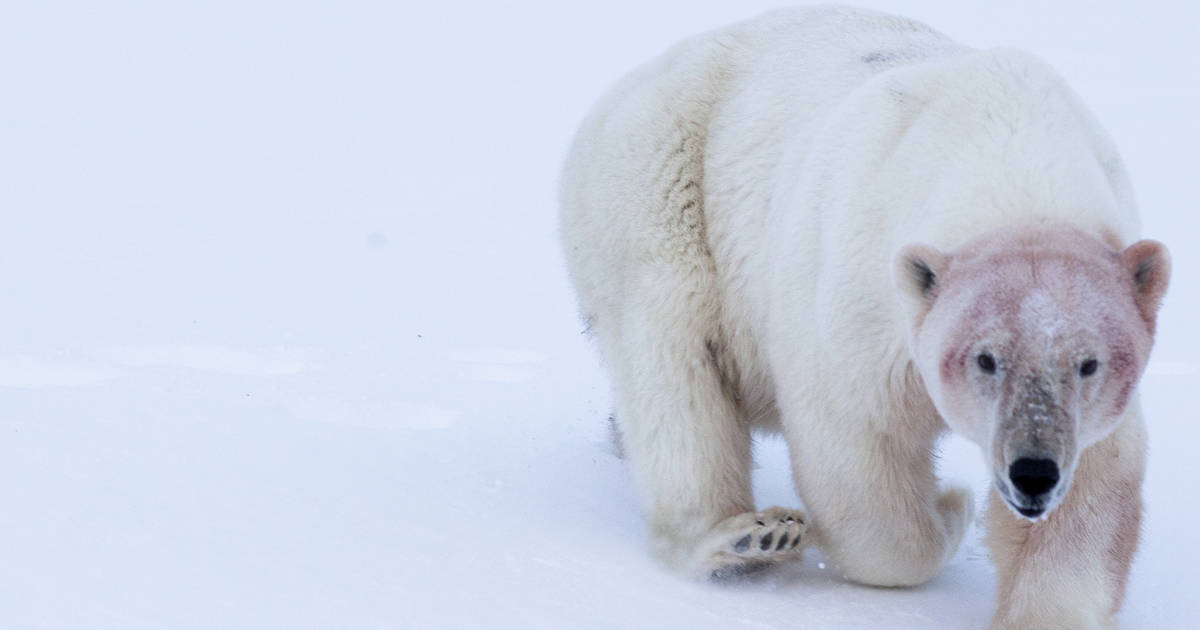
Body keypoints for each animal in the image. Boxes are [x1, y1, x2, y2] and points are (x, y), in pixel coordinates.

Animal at [559, 6, 1171, 629]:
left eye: (1089, 364)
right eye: (985, 359)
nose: (1033, 473)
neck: (1012, 161)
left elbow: (1094, 484)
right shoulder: (867, 290)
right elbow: (859, 450)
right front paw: (950, 509)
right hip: (660, 189)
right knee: (676, 372)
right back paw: (745, 539)